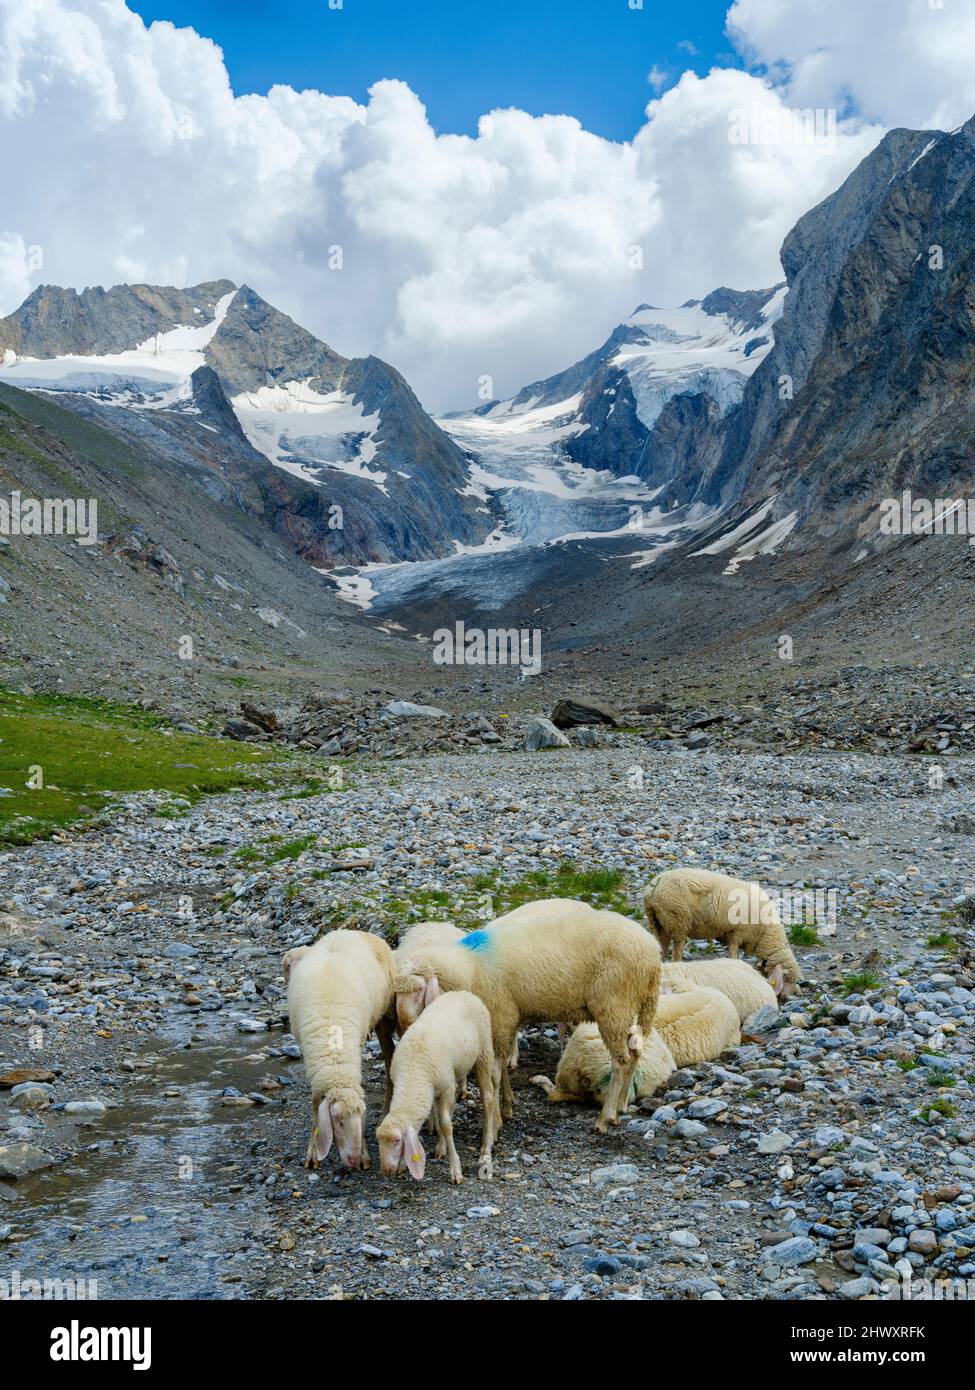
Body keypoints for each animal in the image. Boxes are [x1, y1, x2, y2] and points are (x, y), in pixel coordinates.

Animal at [285, 929, 396, 1171]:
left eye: (361, 1119)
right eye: (339, 1121)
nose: (353, 1159)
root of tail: (349, 930)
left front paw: (364, 1154)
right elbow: (315, 1106)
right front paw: (313, 1151)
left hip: (383, 1015)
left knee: (390, 1056)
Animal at [376, 990, 497, 1184]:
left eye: (396, 1141)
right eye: (378, 1140)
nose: (386, 1170)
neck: (413, 1072)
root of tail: (464, 992)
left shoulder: (446, 1088)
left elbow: (446, 1126)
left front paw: (456, 1170)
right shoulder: (432, 1089)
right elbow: (437, 1118)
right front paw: (438, 1148)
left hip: (484, 1053)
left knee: (488, 1098)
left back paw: (486, 1149)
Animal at [393, 898, 661, 1133]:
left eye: (419, 989)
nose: (403, 1022)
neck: (470, 969)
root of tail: (653, 952)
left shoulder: (500, 1017)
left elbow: (494, 1074)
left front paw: (496, 1120)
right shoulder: (501, 1022)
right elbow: (501, 1069)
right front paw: (508, 1106)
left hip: (613, 1004)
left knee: (621, 1061)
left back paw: (605, 1117)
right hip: (628, 1005)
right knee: (635, 1052)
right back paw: (621, 1107)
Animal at [643, 868, 802, 997]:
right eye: (787, 978)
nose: (786, 997)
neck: (765, 934)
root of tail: (652, 889)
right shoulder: (737, 934)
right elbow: (733, 955)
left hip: (658, 923)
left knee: (661, 948)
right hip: (677, 919)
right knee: (676, 951)